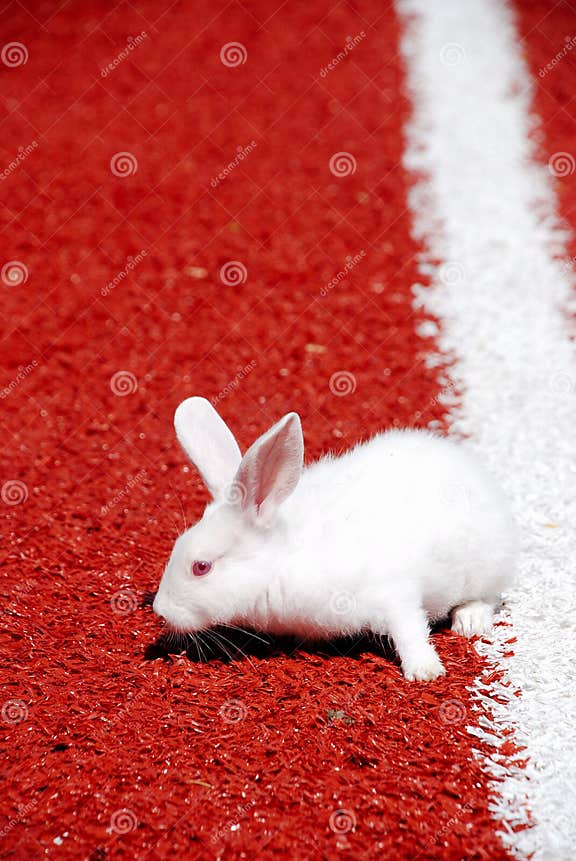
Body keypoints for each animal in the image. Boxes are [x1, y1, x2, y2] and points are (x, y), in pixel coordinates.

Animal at [153, 397, 516, 681]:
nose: (160, 611)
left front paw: (425, 671)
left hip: (487, 567)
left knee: (488, 596)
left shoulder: (391, 591)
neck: (282, 558)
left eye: (201, 567)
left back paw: (468, 622)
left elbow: (409, 629)